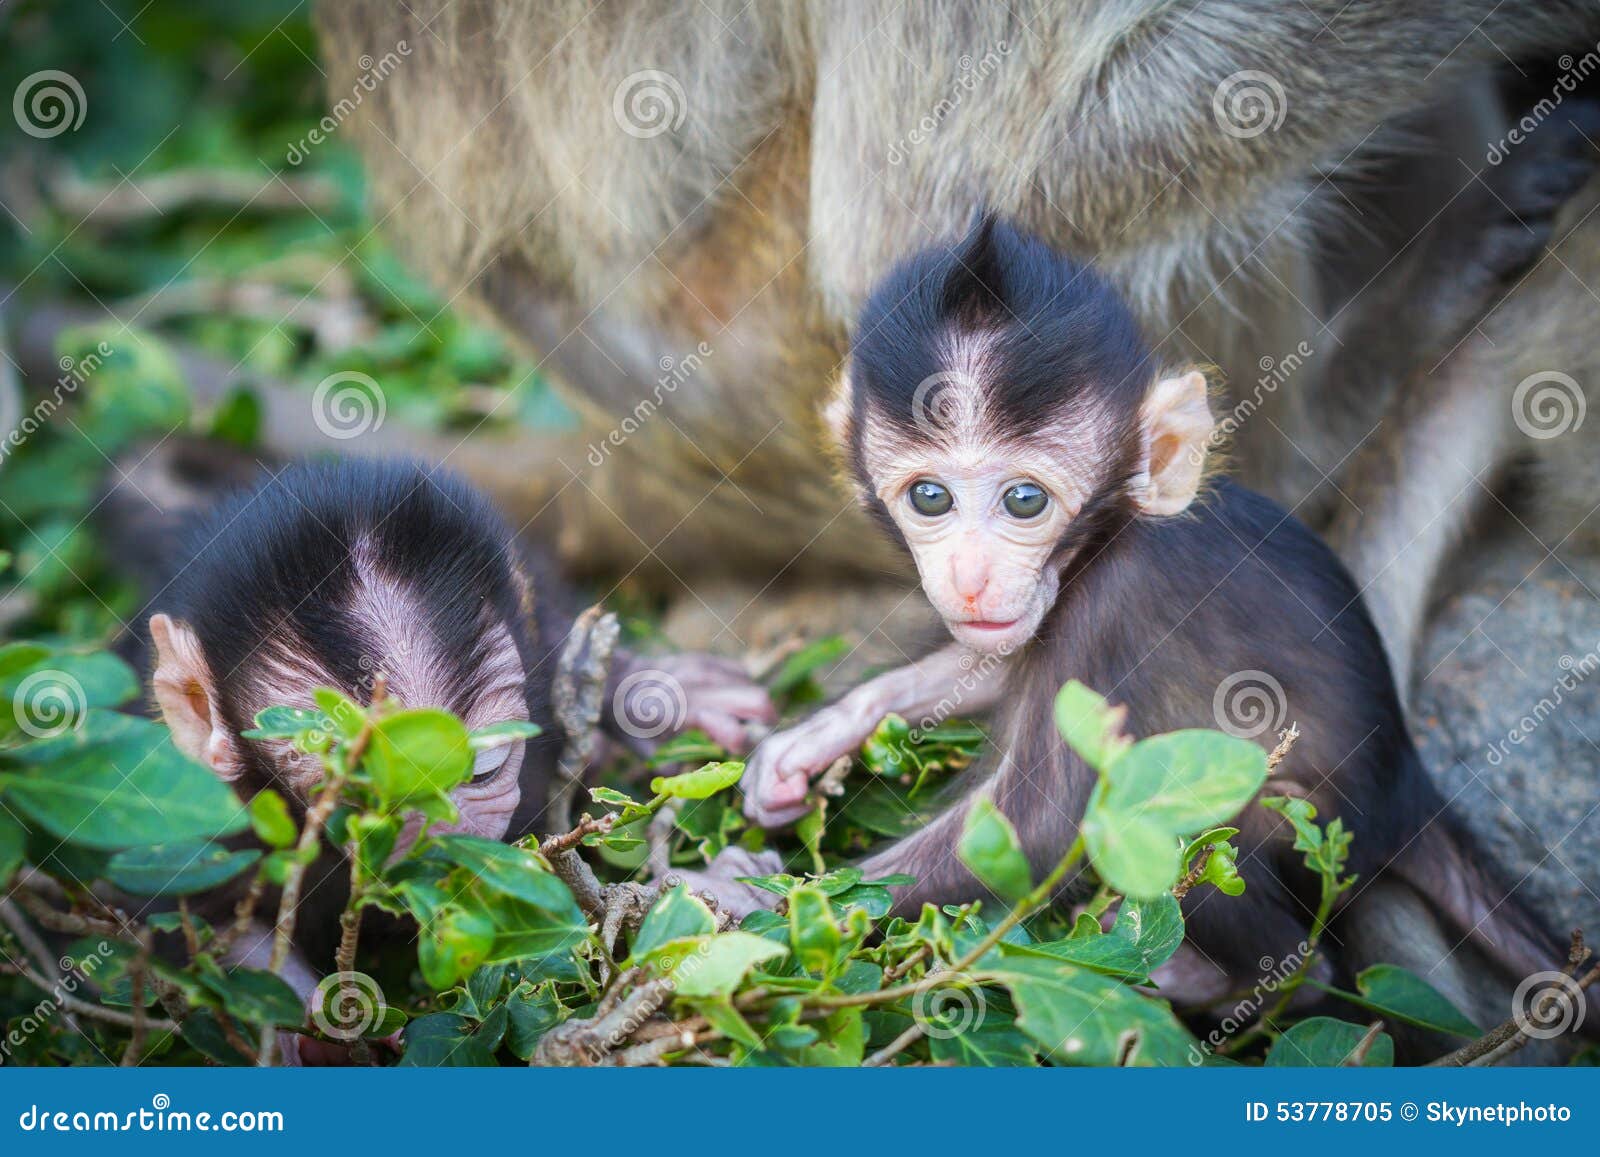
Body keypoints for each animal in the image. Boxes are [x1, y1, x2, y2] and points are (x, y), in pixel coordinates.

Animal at [106, 452, 775, 1062]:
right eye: (360, 797)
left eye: (483, 772)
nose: (451, 851)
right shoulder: (184, 817)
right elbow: (202, 928)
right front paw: (315, 1026)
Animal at [731, 215, 1576, 1051]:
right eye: (930, 497)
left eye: (1026, 500)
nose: (970, 575)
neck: (1107, 539)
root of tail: (1405, 778)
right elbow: (996, 659)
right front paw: (807, 743)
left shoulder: (1116, 602)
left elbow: (1034, 825)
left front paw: (742, 910)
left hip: (1315, 828)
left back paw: (1222, 979)